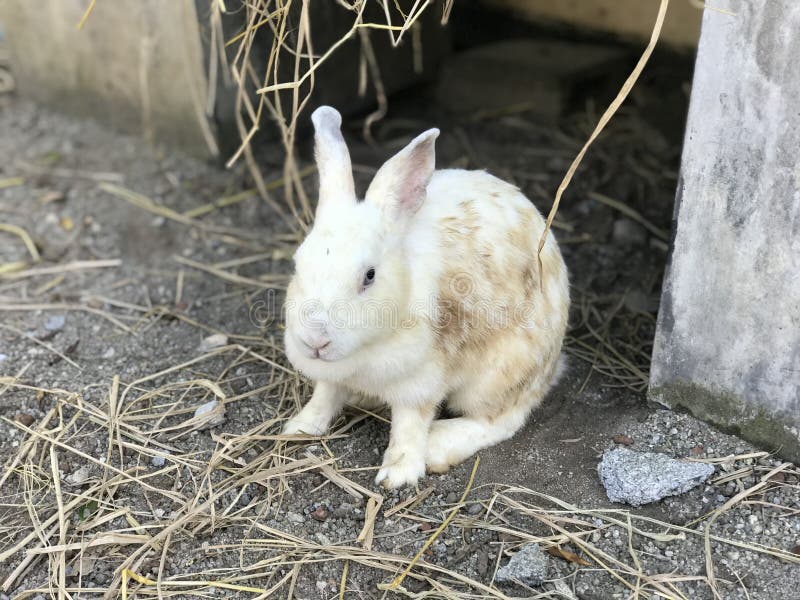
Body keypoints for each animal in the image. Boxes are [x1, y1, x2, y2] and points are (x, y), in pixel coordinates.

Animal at [283, 106, 570, 489]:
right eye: (297, 264)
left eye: (369, 276)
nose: (315, 341)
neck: (363, 351)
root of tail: (553, 366)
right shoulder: (331, 376)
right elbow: (324, 397)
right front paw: (299, 428)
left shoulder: (419, 384)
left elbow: (409, 425)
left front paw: (398, 474)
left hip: (500, 375)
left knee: (502, 419)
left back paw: (438, 445)